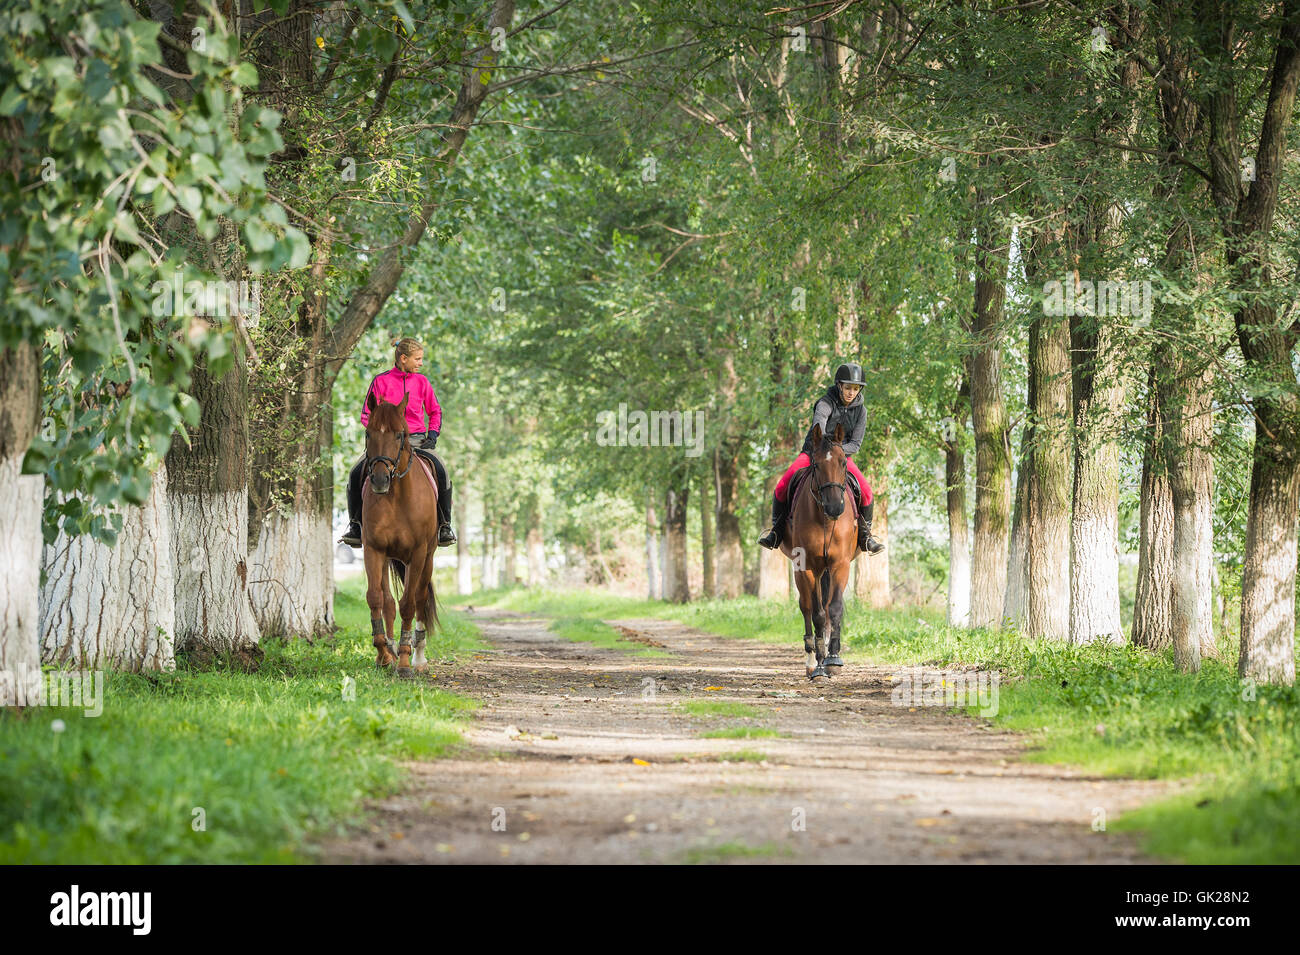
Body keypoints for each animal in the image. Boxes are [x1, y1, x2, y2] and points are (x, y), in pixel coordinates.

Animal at [360, 391, 440, 676]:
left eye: (399, 435)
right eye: (369, 432)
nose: (379, 480)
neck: (396, 497)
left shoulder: (417, 554)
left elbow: (409, 603)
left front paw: (405, 663)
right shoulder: (373, 549)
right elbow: (375, 599)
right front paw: (383, 654)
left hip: (427, 558)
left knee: (420, 599)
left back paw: (417, 657)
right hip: (387, 558)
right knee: (387, 601)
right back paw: (390, 648)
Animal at [780, 421, 858, 681]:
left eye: (843, 462)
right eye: (816, 465)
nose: (834, 507)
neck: (824, 518)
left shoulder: (840, 565)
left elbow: (834, 609)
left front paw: (833, 658)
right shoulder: (809, 568)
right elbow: (817, 614)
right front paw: (821, 665)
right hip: (801, 572)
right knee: (806, 607)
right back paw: (811, 660)